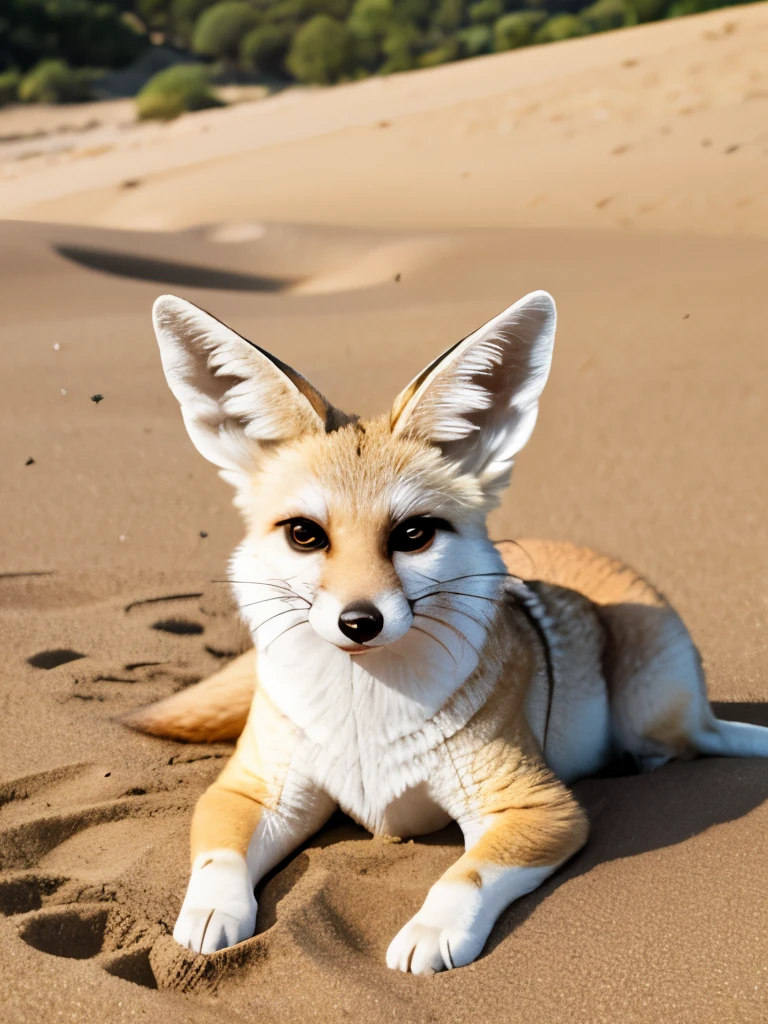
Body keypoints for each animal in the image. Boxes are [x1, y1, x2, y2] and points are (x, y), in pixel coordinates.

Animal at [125, 289, 768, 975]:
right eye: (305, 534)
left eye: (413, 534)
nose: (359, 622)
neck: (363, 709)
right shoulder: (249, 793)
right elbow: (218, 860)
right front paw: (211, 912)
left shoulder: (540, 806)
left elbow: (464, 875)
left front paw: (432, 929)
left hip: (652, 710)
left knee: (698, 740)